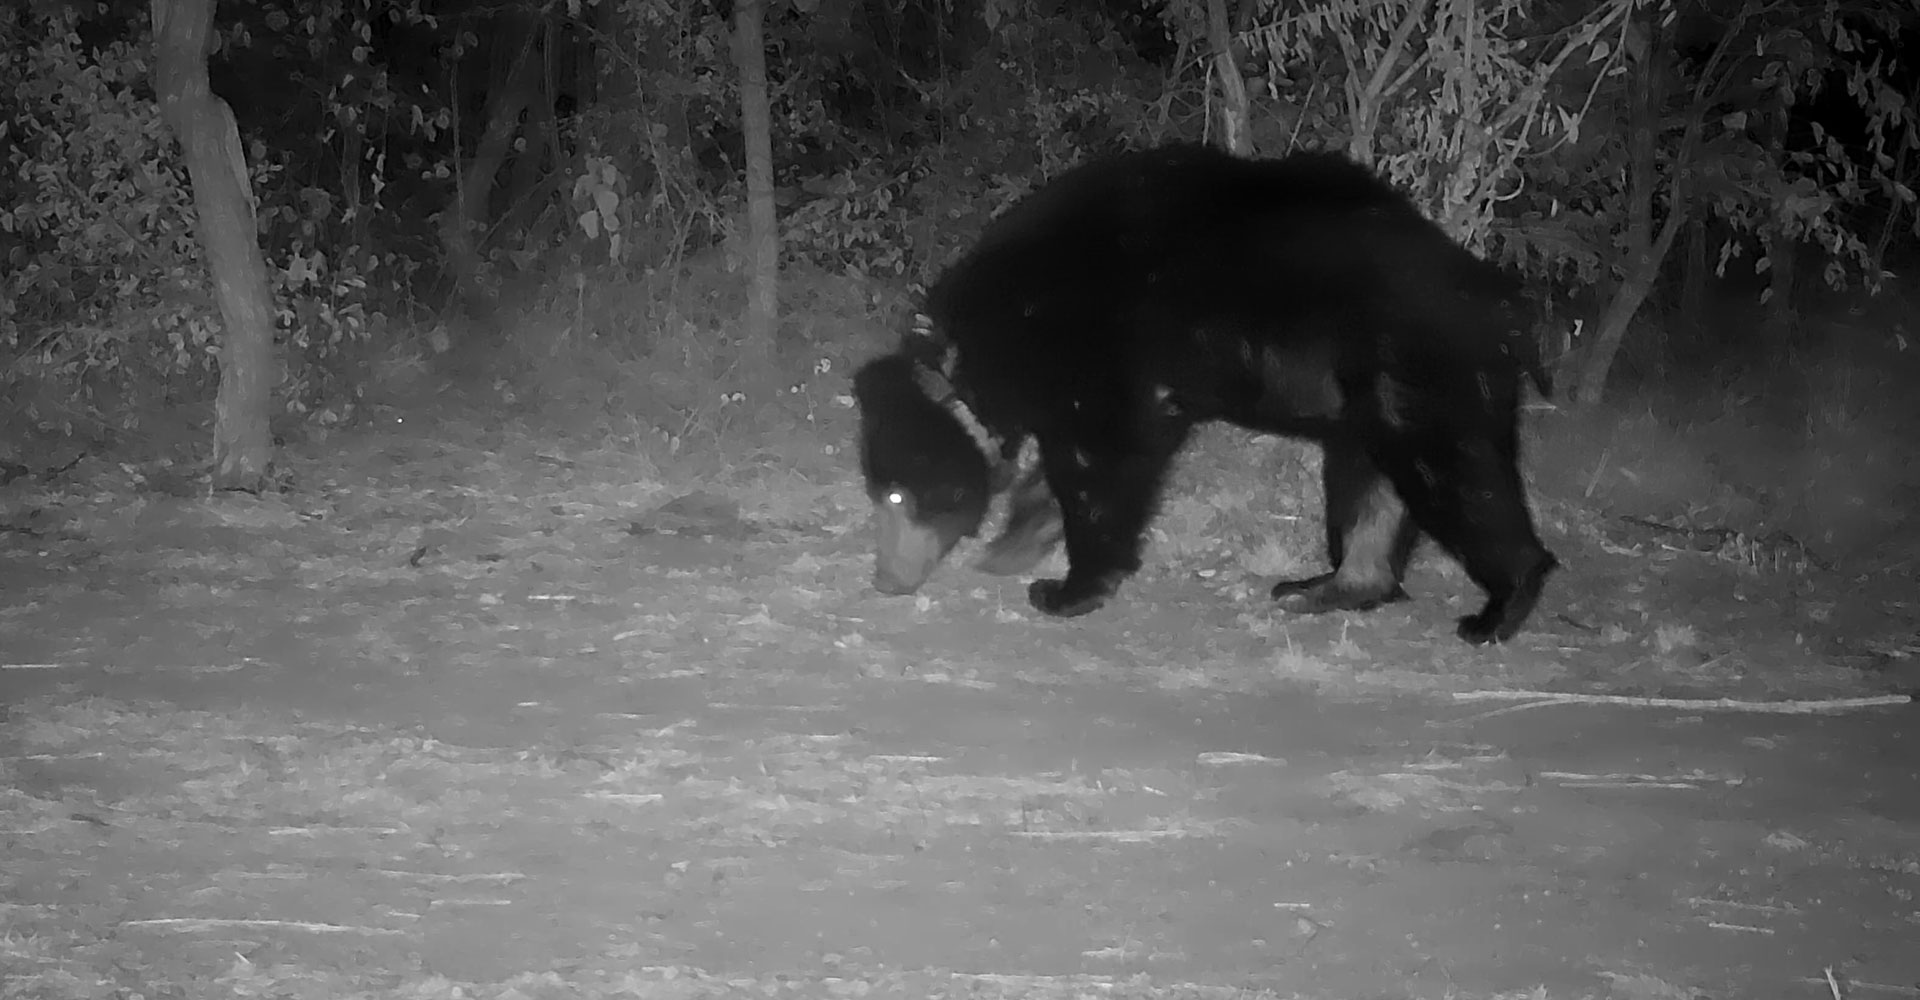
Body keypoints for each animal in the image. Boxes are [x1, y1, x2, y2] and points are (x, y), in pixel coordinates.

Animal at [851, 143, 1557, 644]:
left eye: (895, 495)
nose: (882, 579)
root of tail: (1506, 304)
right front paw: (1015, 544)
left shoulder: (1101, 345)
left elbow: (1102, 462)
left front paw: (1066, 588)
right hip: (1366, 399)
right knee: (1369, 491)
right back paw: (1325, 586)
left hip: (1419, 375)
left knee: (1456, 478)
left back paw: (1499, 609)